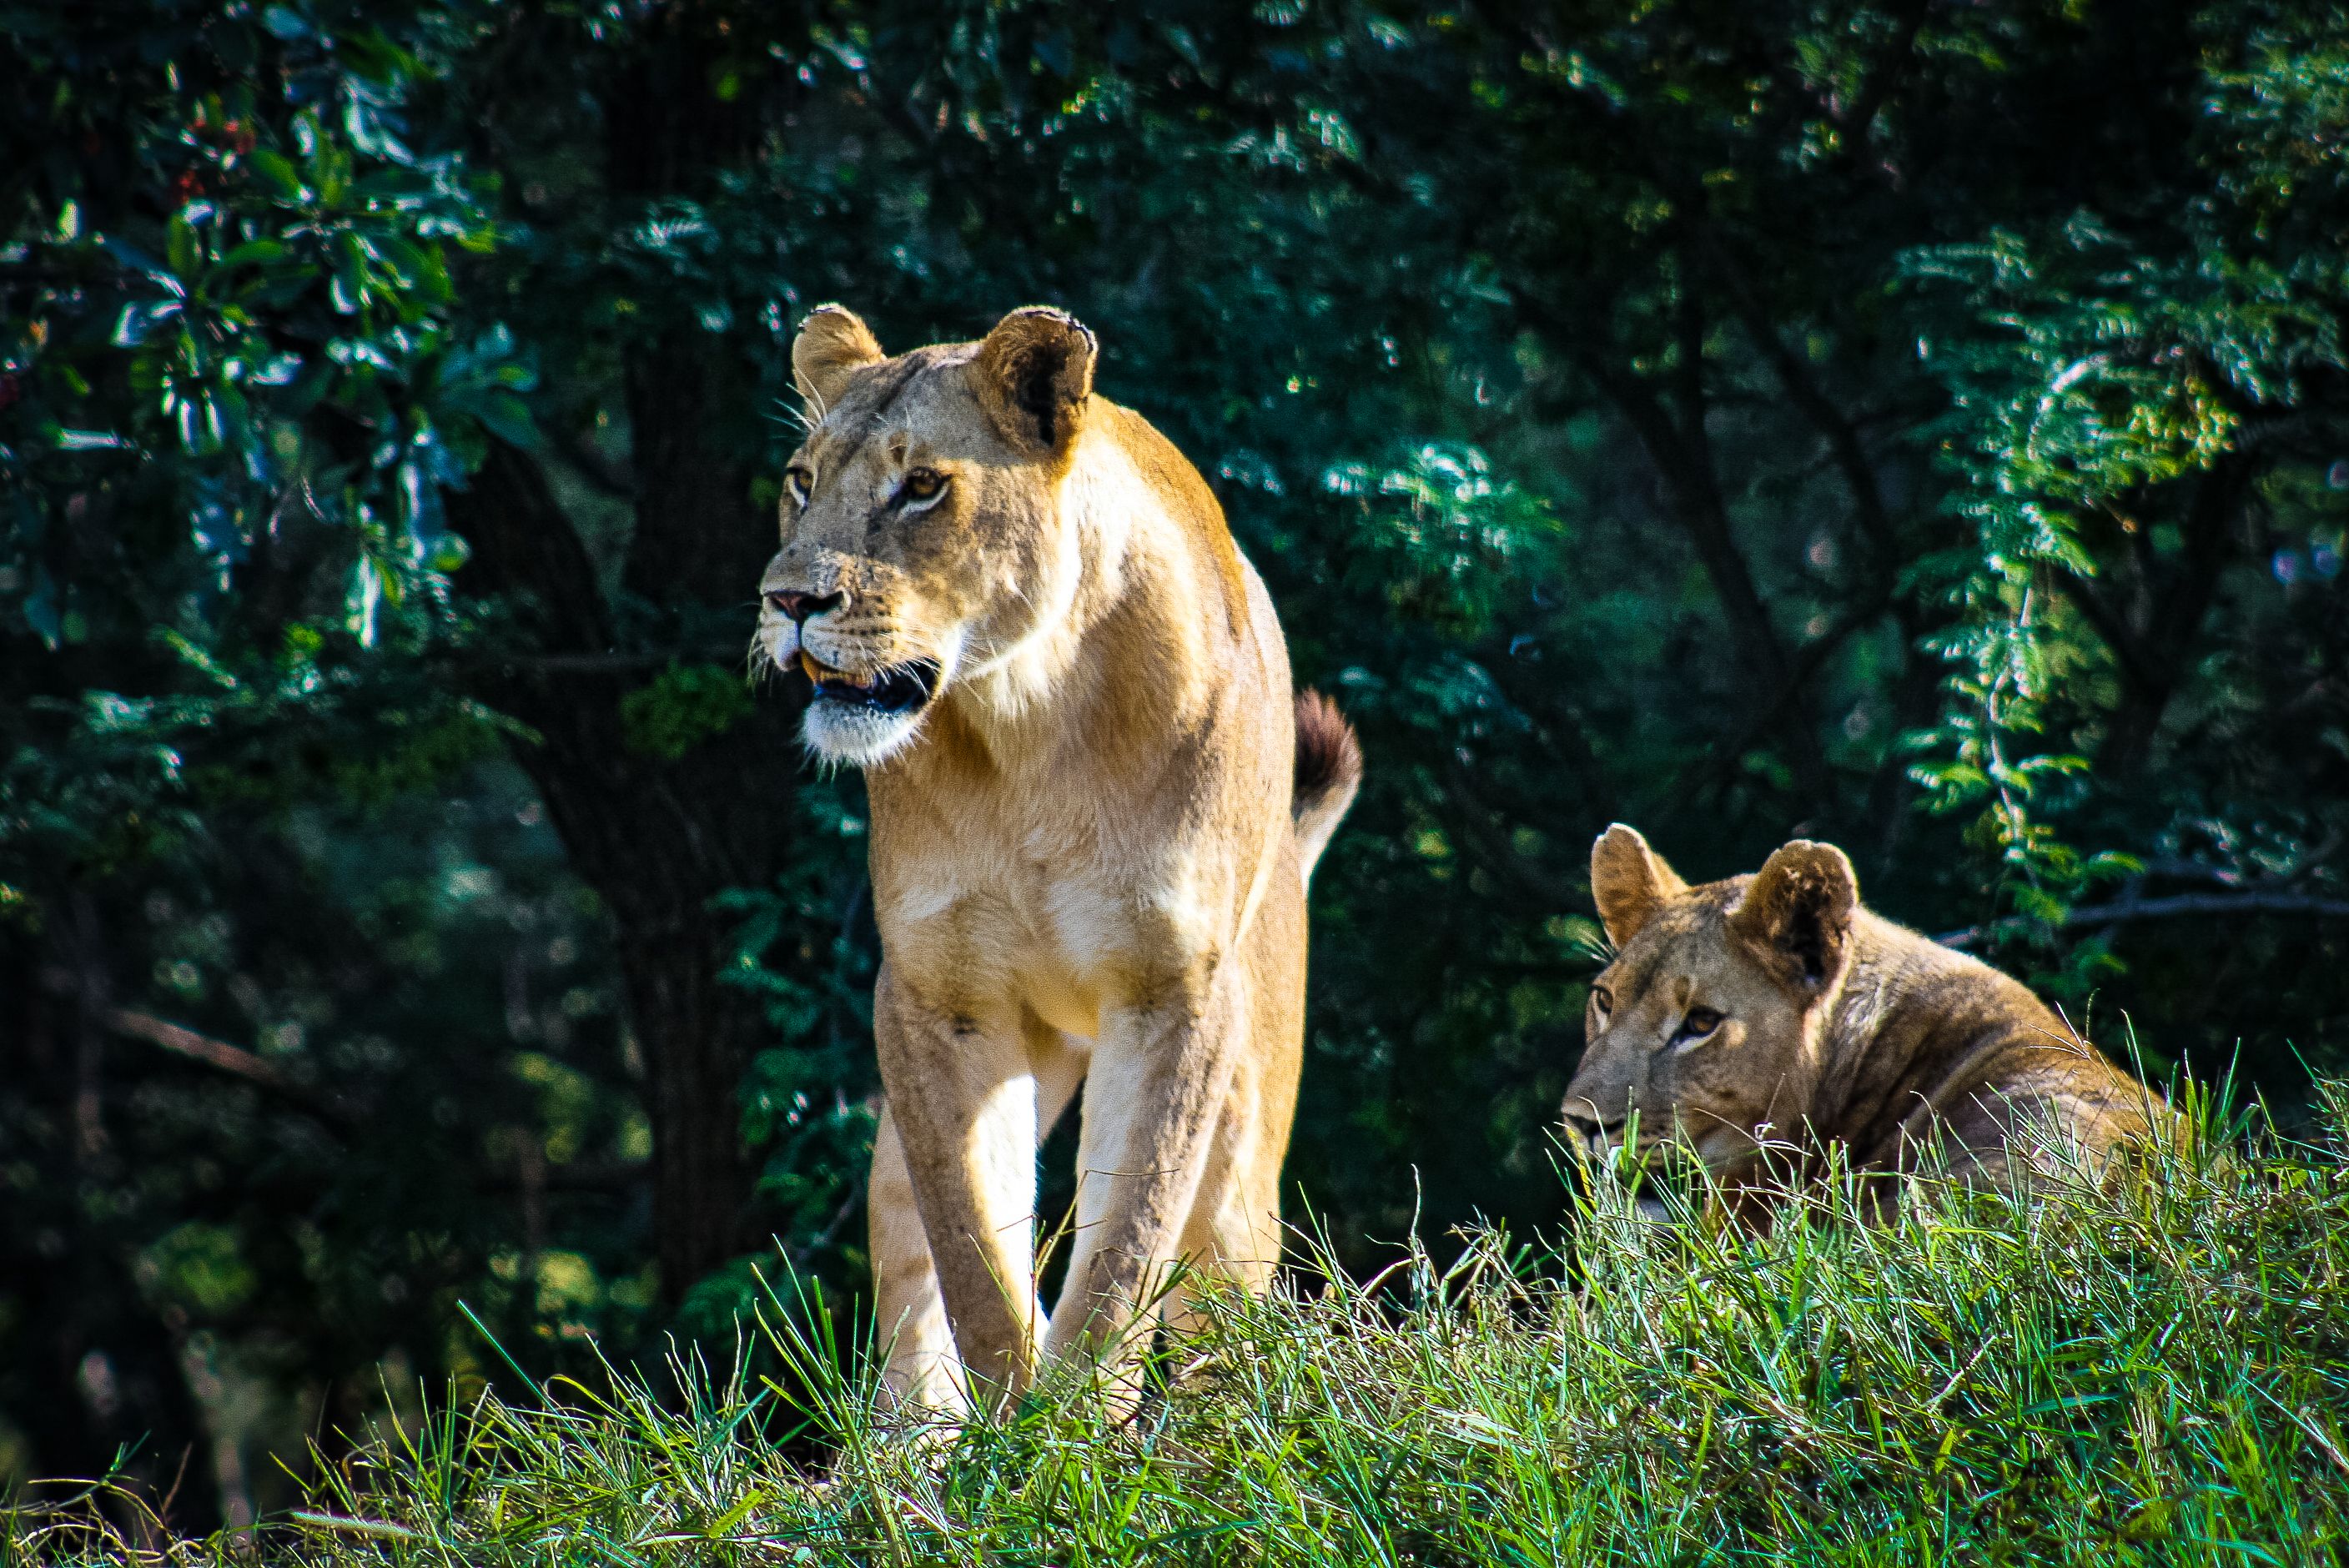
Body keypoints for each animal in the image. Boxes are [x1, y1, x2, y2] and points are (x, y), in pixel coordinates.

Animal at [756, 304, 1361, 1416]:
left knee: (1220, 1285)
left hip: (1243, 1129)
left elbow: (1125, 1244)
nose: (787, 601)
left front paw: (1073, 1430)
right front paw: (1013, 1423)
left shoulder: (1175, 993)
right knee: (909, 1249)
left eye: (921, 485)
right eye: (801, 479)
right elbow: (970, 1253)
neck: (1024, 724)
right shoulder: (934, 997)